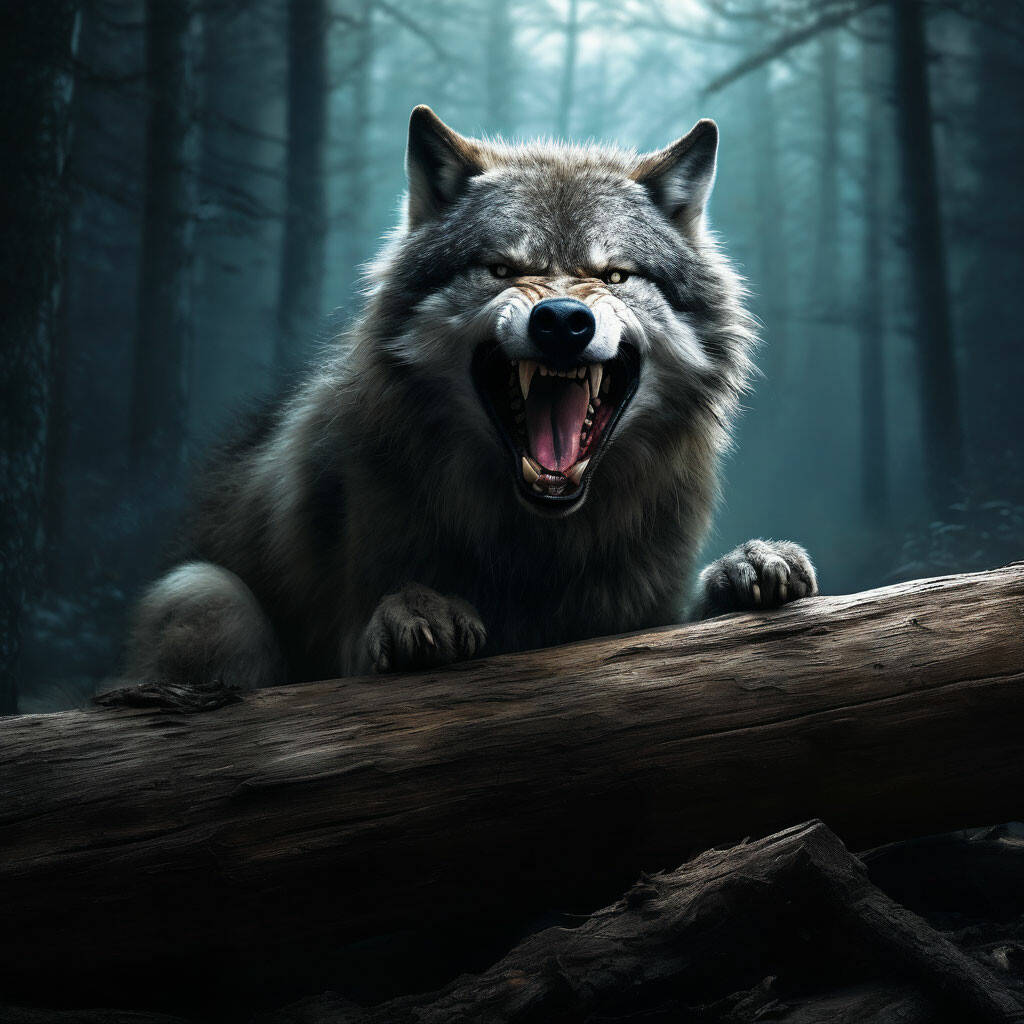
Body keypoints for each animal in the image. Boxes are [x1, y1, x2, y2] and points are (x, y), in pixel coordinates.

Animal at [122, 106, 817, 689]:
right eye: (503, 269)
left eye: (615, 275)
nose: (562, 321)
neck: (535, 546)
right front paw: (416, 612)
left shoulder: (641, 616)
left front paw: (746, 569)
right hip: (200, 591)